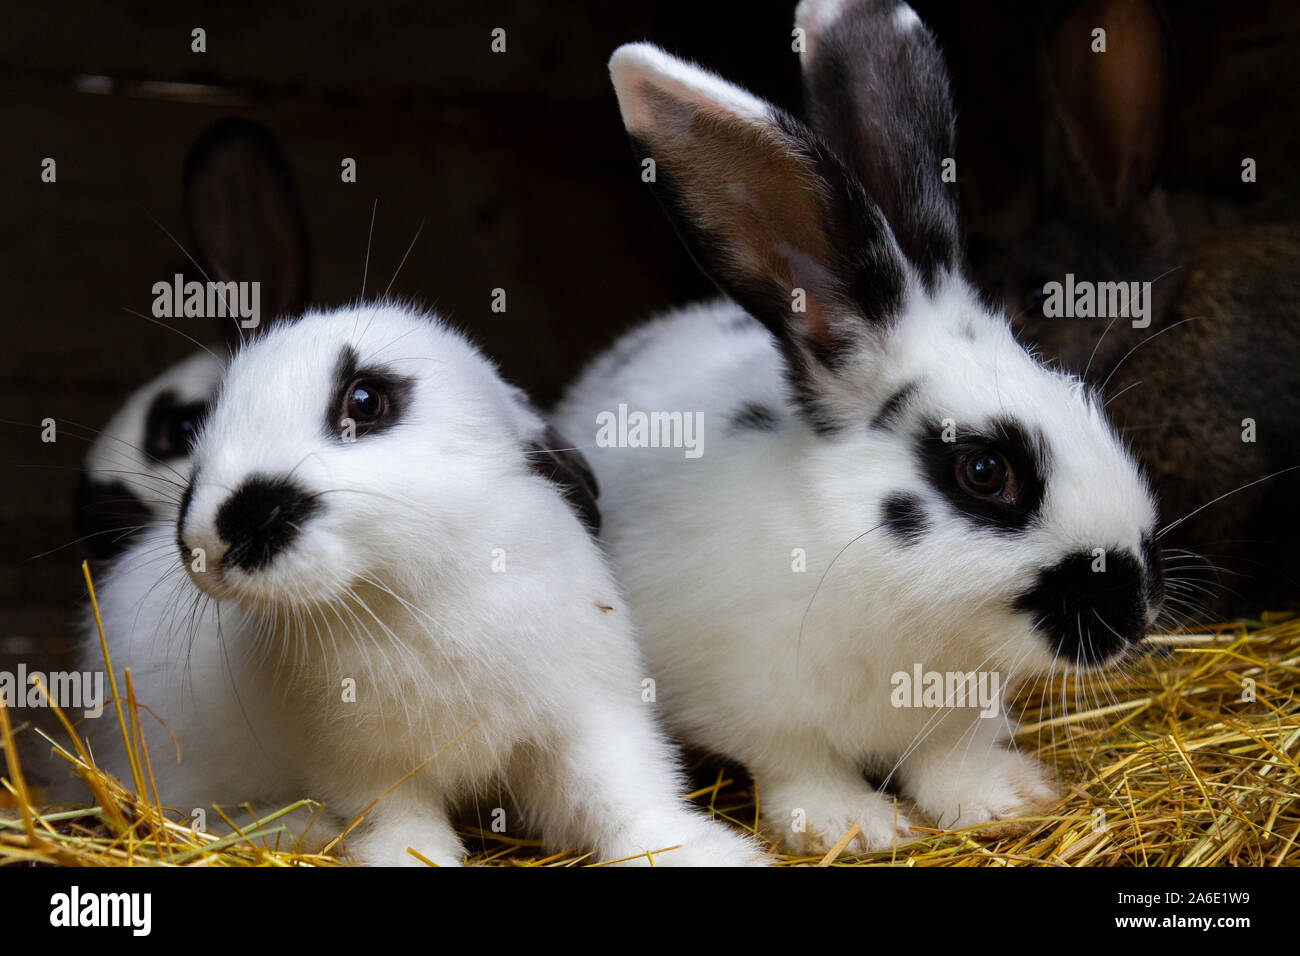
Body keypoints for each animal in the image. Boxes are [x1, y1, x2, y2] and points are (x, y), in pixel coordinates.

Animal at [69, 300, 765, 867]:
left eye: (365, 401)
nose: (212, 536)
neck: (415, 593)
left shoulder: (584, 718)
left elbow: (624, 795)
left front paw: (704, 853)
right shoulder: (368, 767)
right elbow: (401, 829)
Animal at [553, 2, 1165, 857]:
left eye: (1083, 401)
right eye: (985, 472)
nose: (1136, 607)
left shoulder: (953, 715)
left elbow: (950, 757)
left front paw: (1005, 800)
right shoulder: (757, 710)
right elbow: (799, 767)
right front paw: (853, 826)